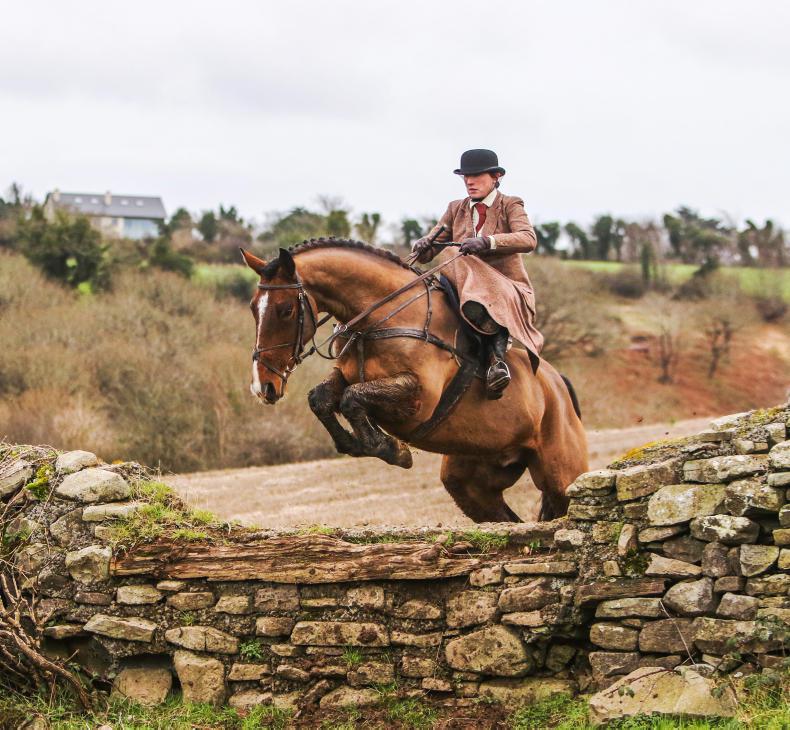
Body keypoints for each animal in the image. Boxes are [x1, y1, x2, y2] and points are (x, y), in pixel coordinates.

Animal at [241, 239, 588, 522]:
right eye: (253, 309)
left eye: (285, 310)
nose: (263, 387)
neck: (382, 319)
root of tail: (559, 384)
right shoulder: (346, 376)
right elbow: (322, 398)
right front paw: (357, 444)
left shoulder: (421, 398)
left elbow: (353, 398)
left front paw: (392, 449)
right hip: (471, 481)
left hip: (562, 474)